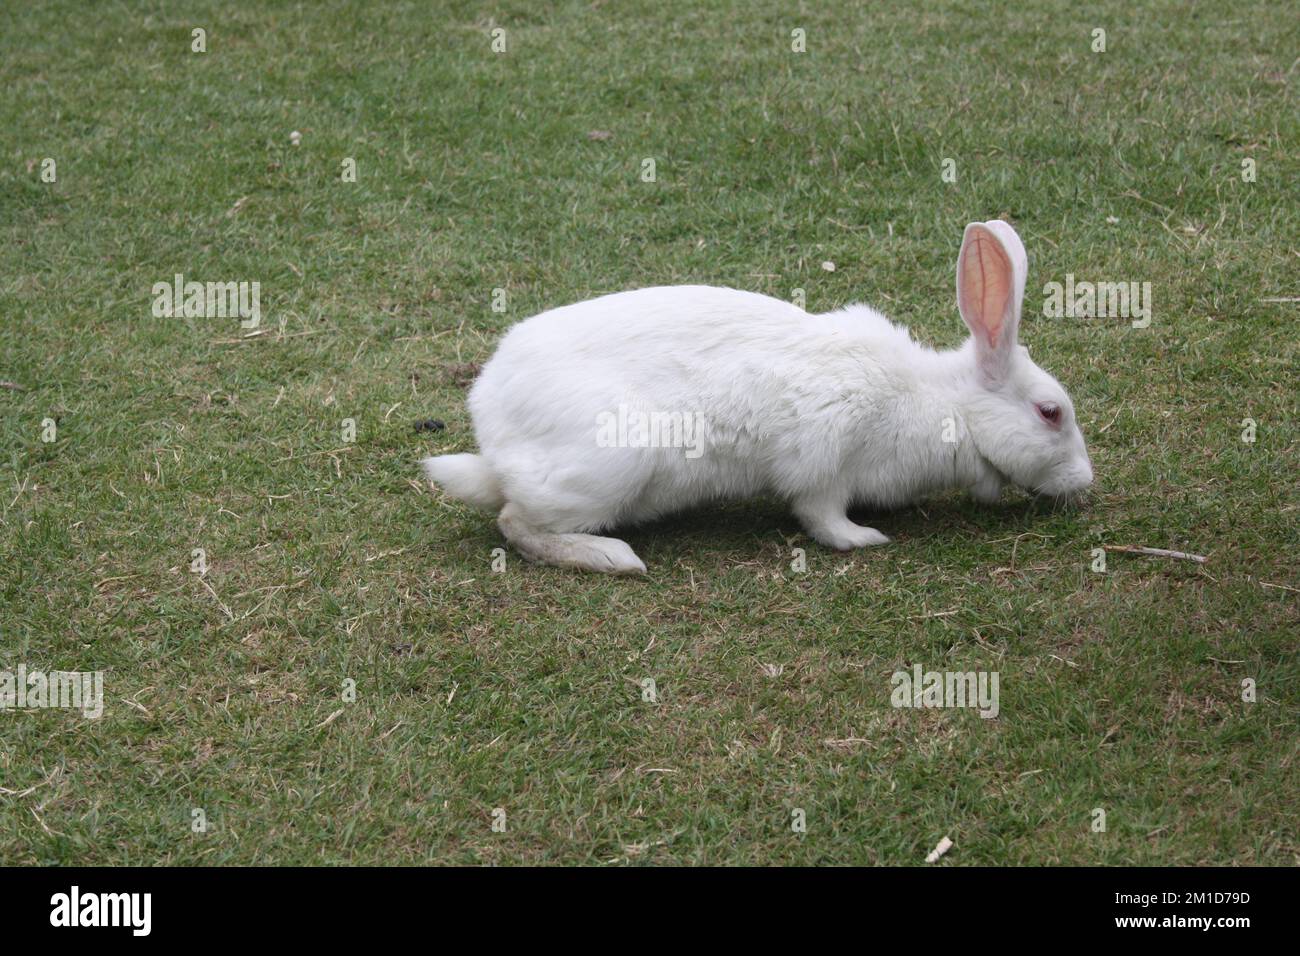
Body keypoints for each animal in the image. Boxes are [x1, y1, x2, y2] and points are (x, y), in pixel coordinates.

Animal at [422, 219, 1093, 573]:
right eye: (1050, 412)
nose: (1085, 481)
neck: (945, 405)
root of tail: (493, 440)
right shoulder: (825, 460)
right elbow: (821, 514)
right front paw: (863, 540)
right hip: (610, 464)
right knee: (516, 522)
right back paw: (612, 556)